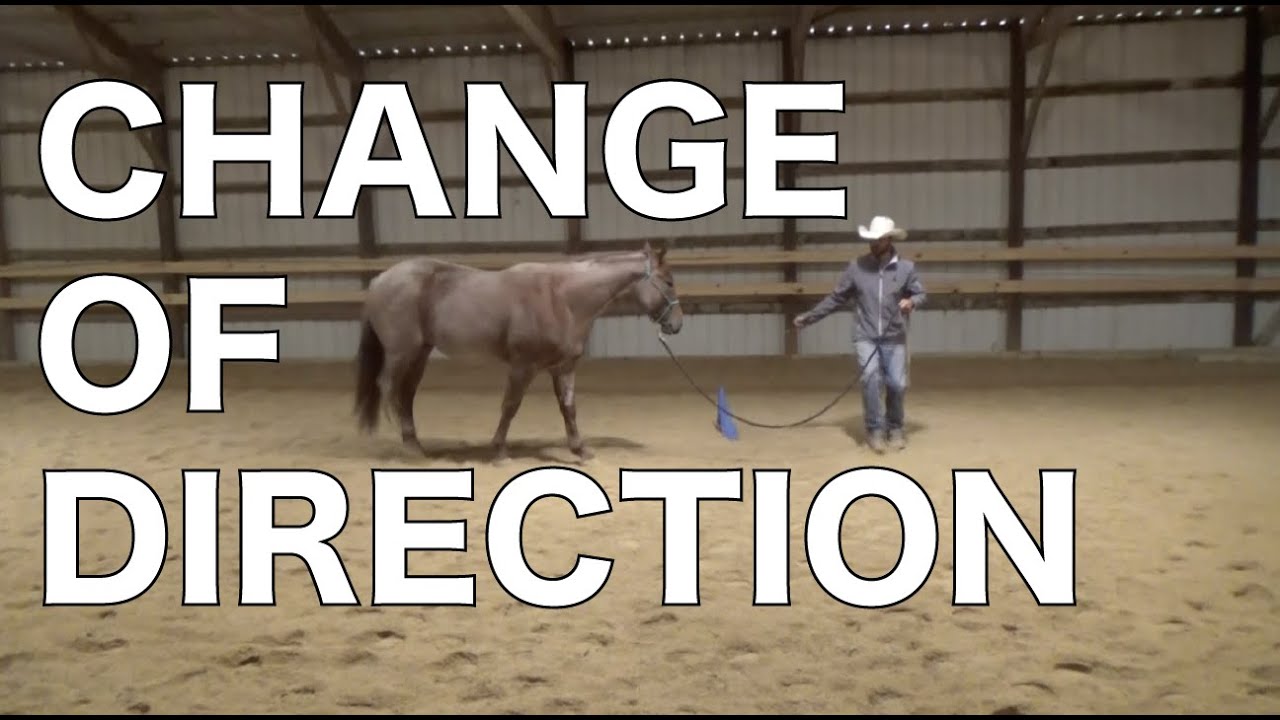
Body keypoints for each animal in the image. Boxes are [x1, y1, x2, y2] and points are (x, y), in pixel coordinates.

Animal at [352, 240, 684, 463]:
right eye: (668, 281)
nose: (676, 325)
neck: (562, 298)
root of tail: (380, 279)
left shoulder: (563, 367)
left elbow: (569, 408)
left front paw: (581, 450)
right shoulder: (523, 366)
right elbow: (510, 406)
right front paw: (499, 452)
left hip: (419, 354)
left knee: (406, 395)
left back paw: (416, 446)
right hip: (401, 353)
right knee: (388, 388)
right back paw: (405, 449)